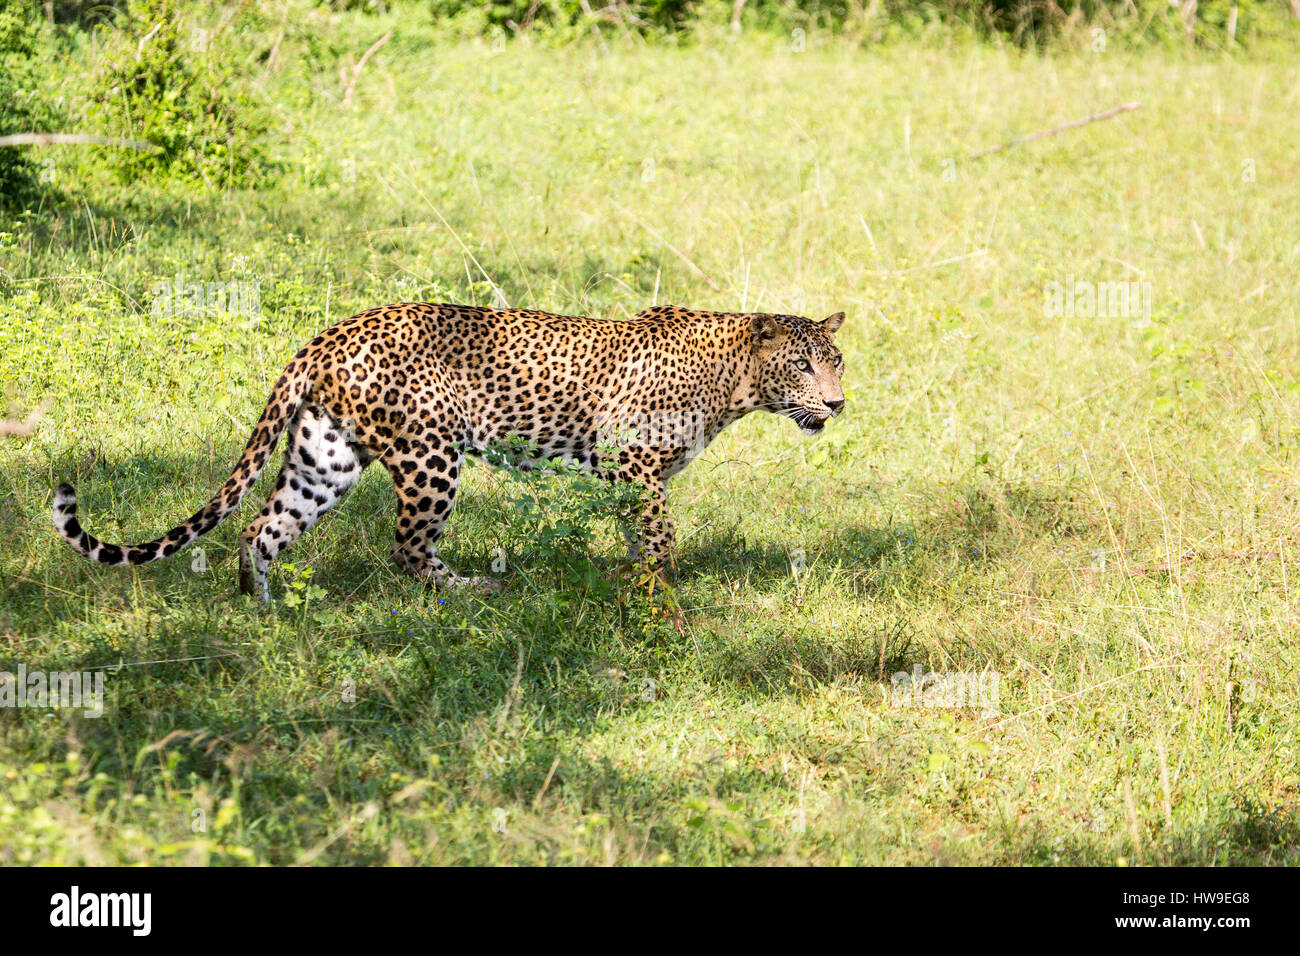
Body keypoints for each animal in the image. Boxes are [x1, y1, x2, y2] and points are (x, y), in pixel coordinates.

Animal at [53, 303, 847, 600]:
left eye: (837, 362)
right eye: (805, 366)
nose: (839, 404)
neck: (736, 381)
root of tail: (328, 333)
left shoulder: (630, 475)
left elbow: (637, 531)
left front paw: (632, 579)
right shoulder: (633, 461)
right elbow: (660, 532)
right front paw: (659, 589)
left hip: (326, 457)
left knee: (260, 527)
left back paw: (262, 608)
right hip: (432, 457)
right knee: (407, 548)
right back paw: (473, 590)